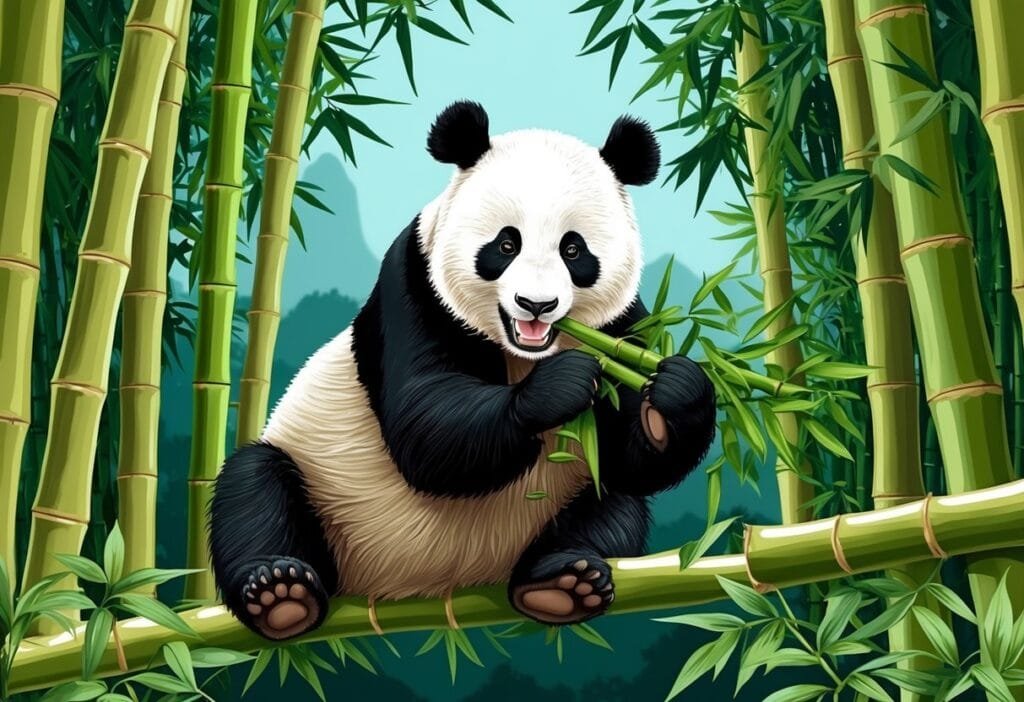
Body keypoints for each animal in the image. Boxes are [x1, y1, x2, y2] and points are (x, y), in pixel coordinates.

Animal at [209, 101, 716, 641]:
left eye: (573, 249)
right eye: (506, 245)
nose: (536, 305)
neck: (524, 354)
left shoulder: (623, 326)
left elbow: (629, 458)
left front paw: (676, 392)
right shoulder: (414, 286)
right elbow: (426, 427)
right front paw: (560, 387)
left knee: (612, 505)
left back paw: (561, 582)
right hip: (319, 486)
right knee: (254, 486)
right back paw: (280, 594)